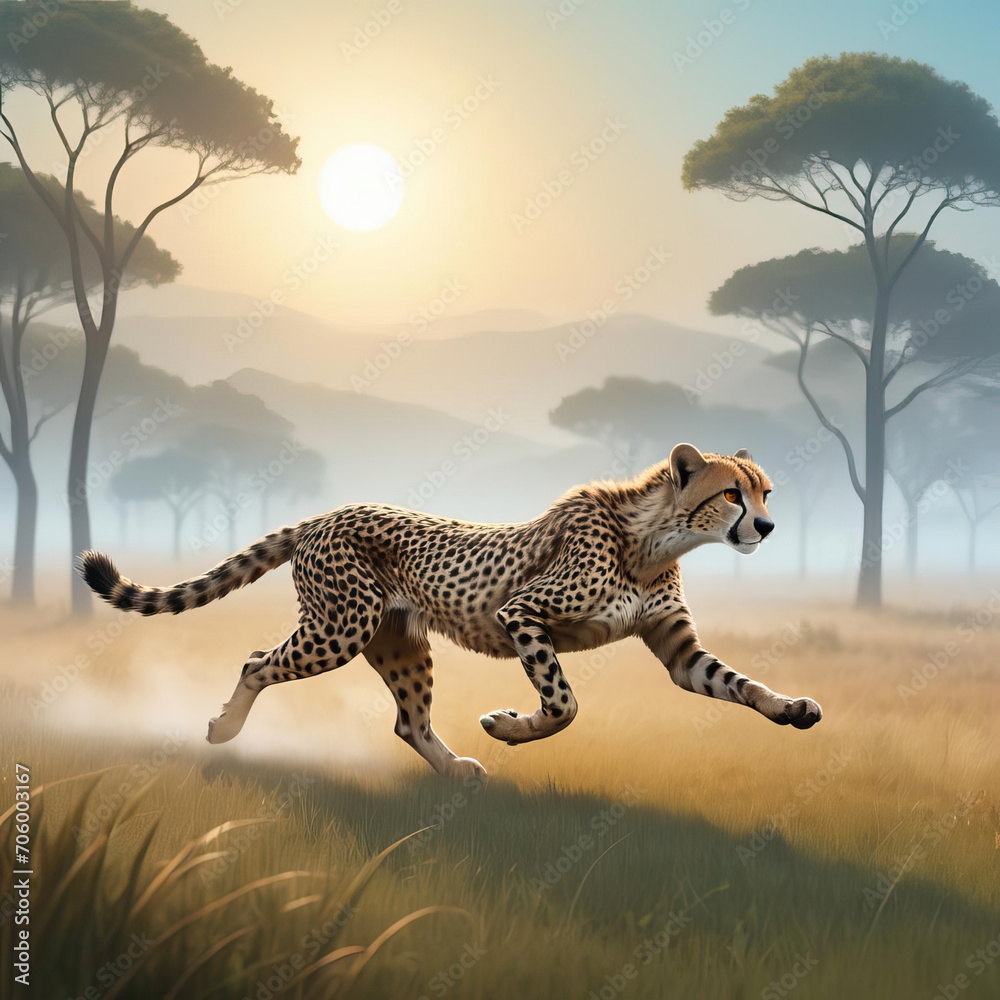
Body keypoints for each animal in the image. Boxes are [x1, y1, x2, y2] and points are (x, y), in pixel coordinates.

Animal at [80, 443, 822, 779]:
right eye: (731, 493)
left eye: (766, 492)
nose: (767, 527)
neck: (654, 537)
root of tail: (328, 513)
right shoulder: (524, 613)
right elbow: (564, 703)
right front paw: (509, 726)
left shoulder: (674, 646)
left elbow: (738, 683)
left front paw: (792, 709)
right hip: (340, 628)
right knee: (257, 660)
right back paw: (225, 729)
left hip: (397, 643)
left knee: (408, 721)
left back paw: (454, 770)